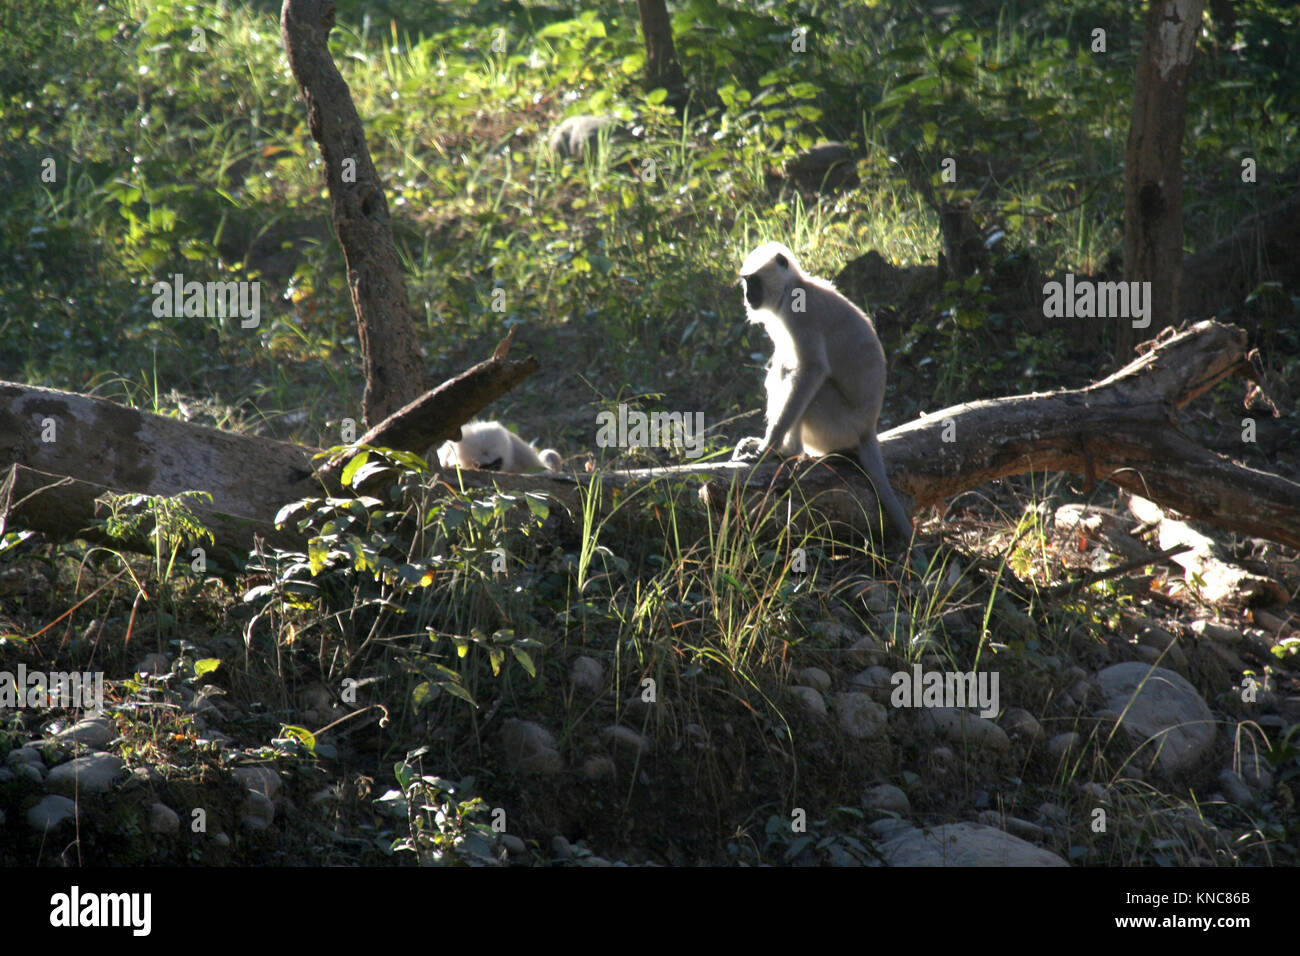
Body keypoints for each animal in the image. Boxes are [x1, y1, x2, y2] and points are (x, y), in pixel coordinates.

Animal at [731, 241, 914, 543]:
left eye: (753, 281)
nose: (747, 296)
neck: (793, 287)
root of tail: (868, 429)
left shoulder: (800, 312)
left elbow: (812, 370)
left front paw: (767, 448)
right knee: (783, 367)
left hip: (837, 426)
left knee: (804, 380)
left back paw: (788, 450)